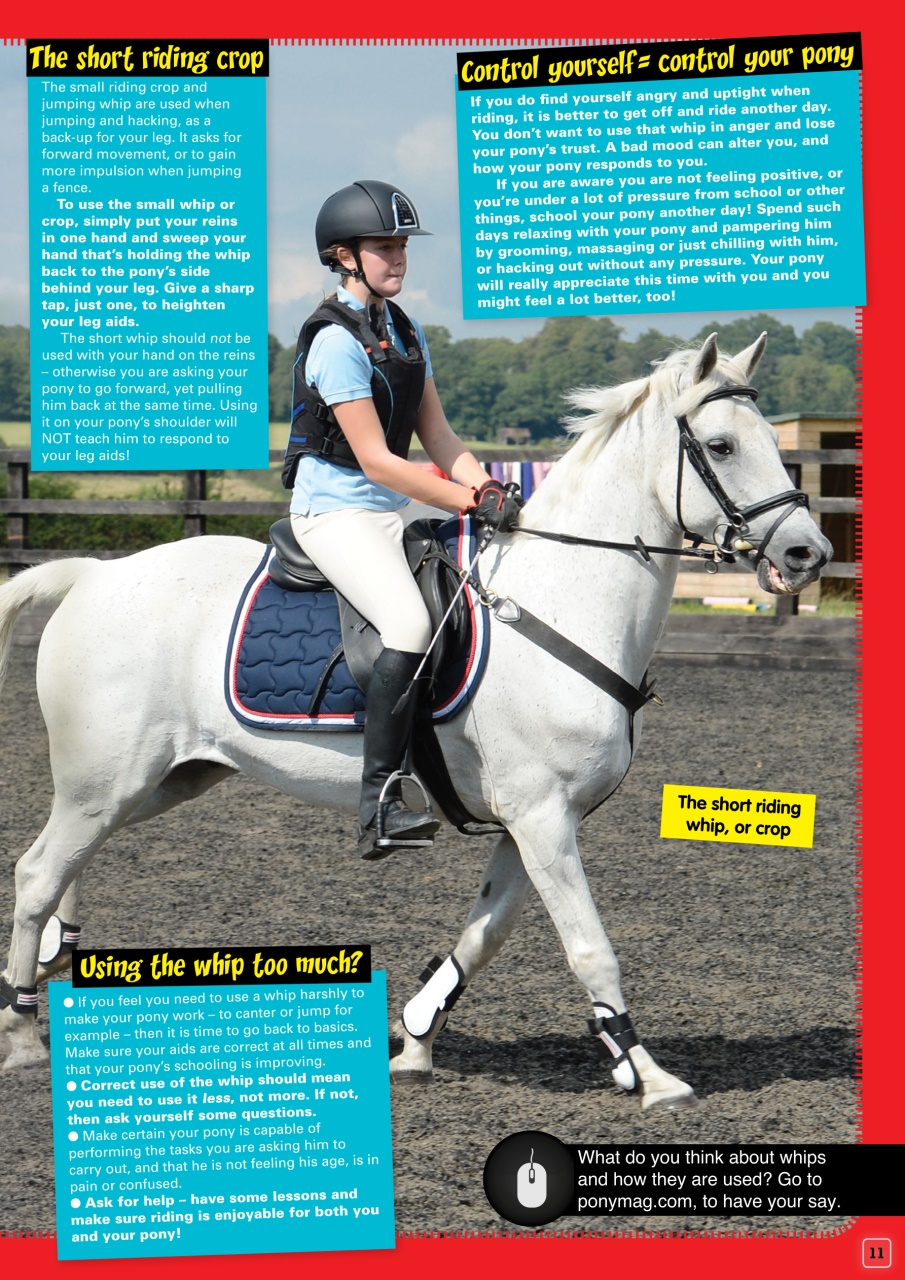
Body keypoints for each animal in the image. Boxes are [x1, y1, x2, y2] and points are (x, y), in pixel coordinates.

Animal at [0, 333, 831, 1110]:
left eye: (768, 437)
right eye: (721, 446)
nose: (807, 553)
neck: (563, 597)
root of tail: (97, 574)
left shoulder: (529, 824)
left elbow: (484, 934)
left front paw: (417, 1037)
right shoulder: (542, 818)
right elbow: (590, 947)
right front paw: (650, 1075)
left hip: (164, 778)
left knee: (71, 861)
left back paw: (55, 956)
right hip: (108, 781)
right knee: (40, 870)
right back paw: (22, 1031)